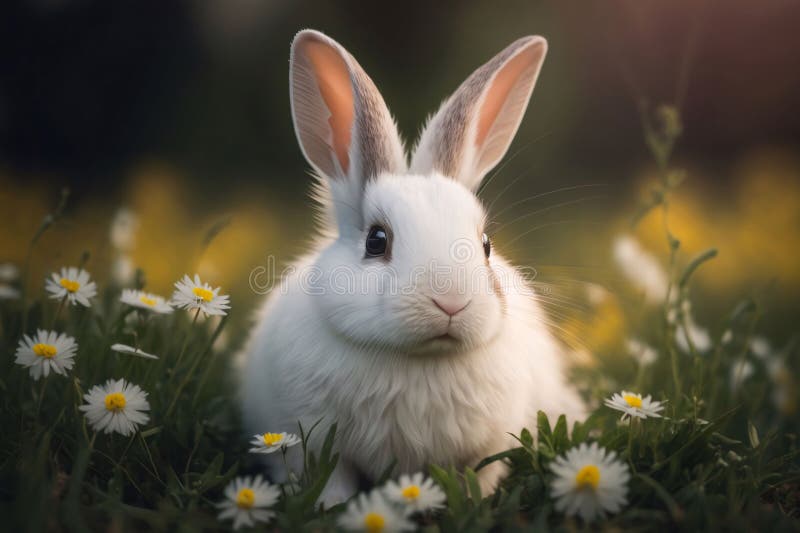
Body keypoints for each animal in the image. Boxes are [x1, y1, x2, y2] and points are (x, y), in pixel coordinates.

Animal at [240, 29, 586, 506]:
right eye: (376, 240)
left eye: (485, 245)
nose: (451, 302)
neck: (421, 359)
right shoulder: (309, 438)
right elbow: (332, 482)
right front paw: (336, 508)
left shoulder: (488, 446)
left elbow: (480, 477)